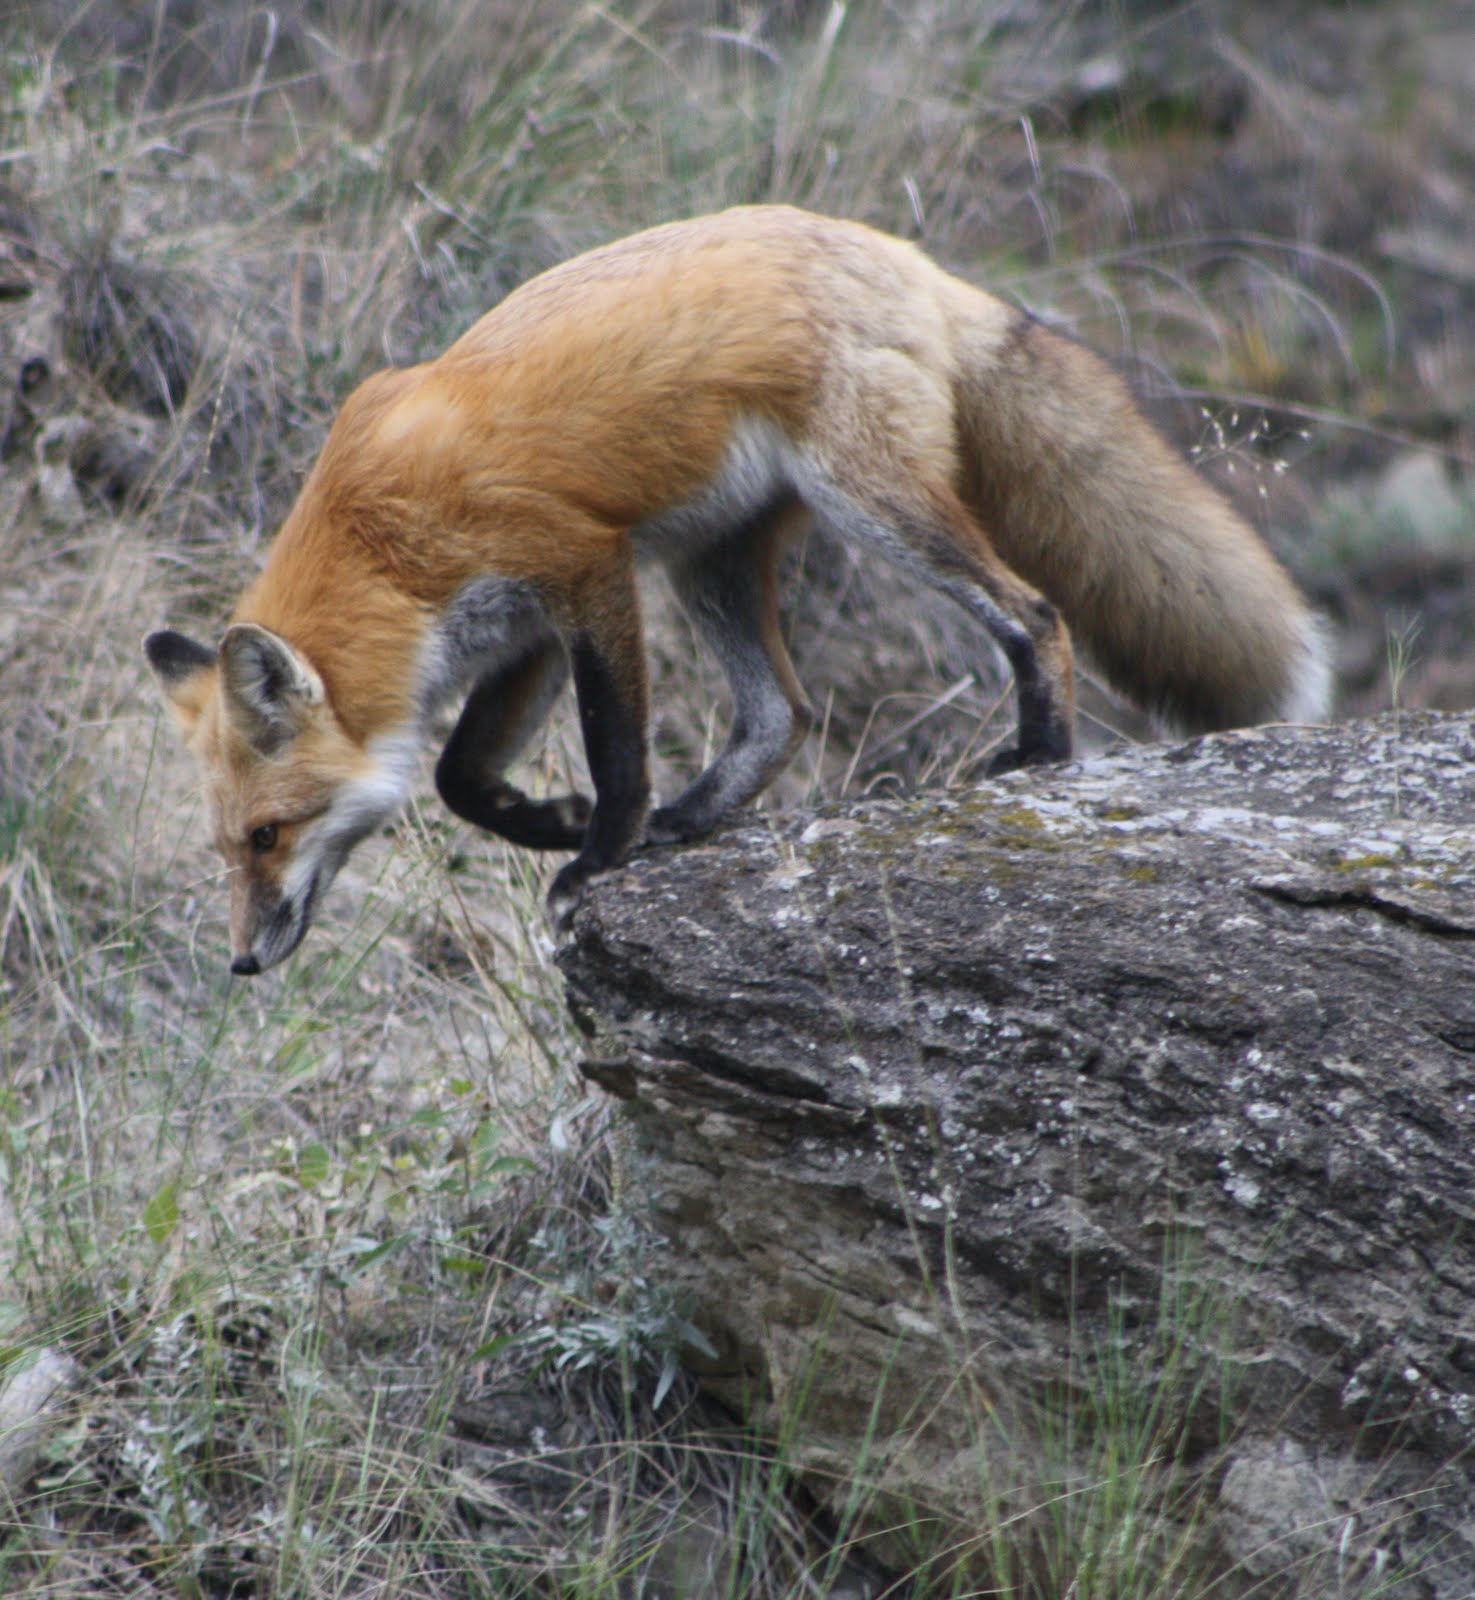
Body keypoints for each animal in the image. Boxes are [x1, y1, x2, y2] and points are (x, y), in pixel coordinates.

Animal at [145, 205, 1329, 976]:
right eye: (227, 847)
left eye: (267, 837)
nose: (242, 965)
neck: (379, 533)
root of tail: (908, 260)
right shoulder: (518, 630)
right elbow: (457, 776)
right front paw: (552, 818)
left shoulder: (584, 566)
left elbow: (613, 746)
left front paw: (595, 852)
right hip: (708, 564)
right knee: (781, 714)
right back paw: (700, 815)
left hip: (865, 505)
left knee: (1034, 613)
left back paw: (1037, 752)